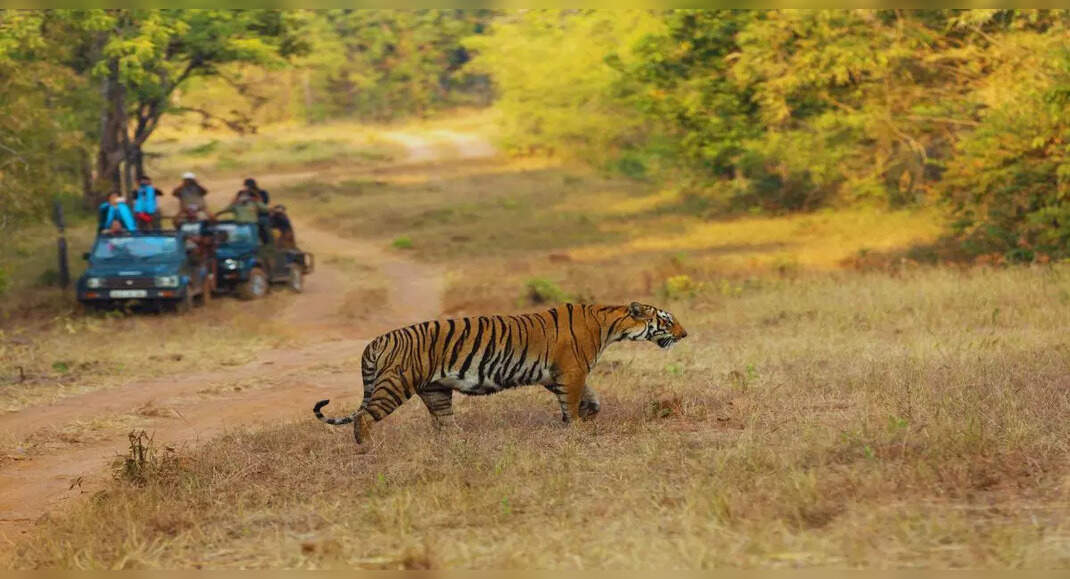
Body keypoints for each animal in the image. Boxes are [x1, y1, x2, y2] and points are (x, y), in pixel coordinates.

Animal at [312, 301, 688, 445]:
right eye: (667, 320)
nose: (685, 334)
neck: (610, 323)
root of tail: (378, 339)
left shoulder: (556, 375)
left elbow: (590, 398)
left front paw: (589, 414)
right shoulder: (571, 371)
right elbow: (574, 401)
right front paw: (578, 427)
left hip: (435, 390)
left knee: (444, 423)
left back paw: (459, 443)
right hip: (396, 384)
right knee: (365, 417)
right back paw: (366, 448)